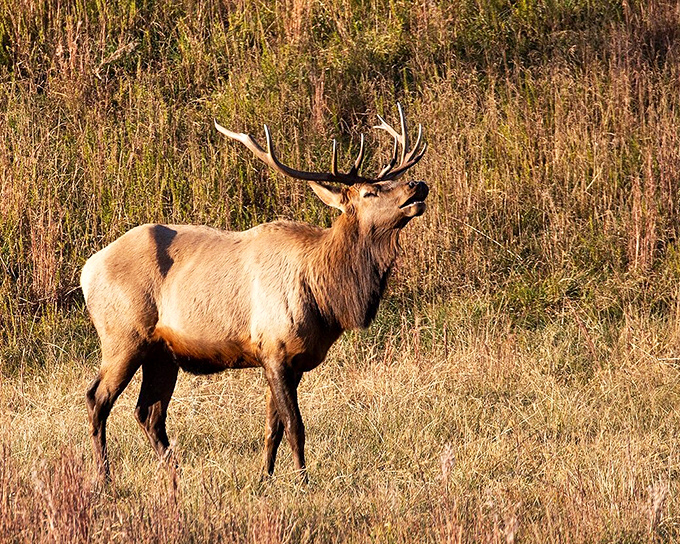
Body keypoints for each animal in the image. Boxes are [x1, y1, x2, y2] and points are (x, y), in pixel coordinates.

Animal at [81, 104, 429, 482]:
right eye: (369, 192)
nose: (418, 184)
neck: (325, 296)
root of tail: (87, 271)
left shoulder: (290, 360)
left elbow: (272, 427)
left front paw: (266, 476)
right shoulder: (275, 348)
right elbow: (295, 426)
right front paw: (302, 480)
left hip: (161, 353)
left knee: (148, 413)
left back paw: (176, 476)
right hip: (123, 336)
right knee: (98, 399)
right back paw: (104, 477)